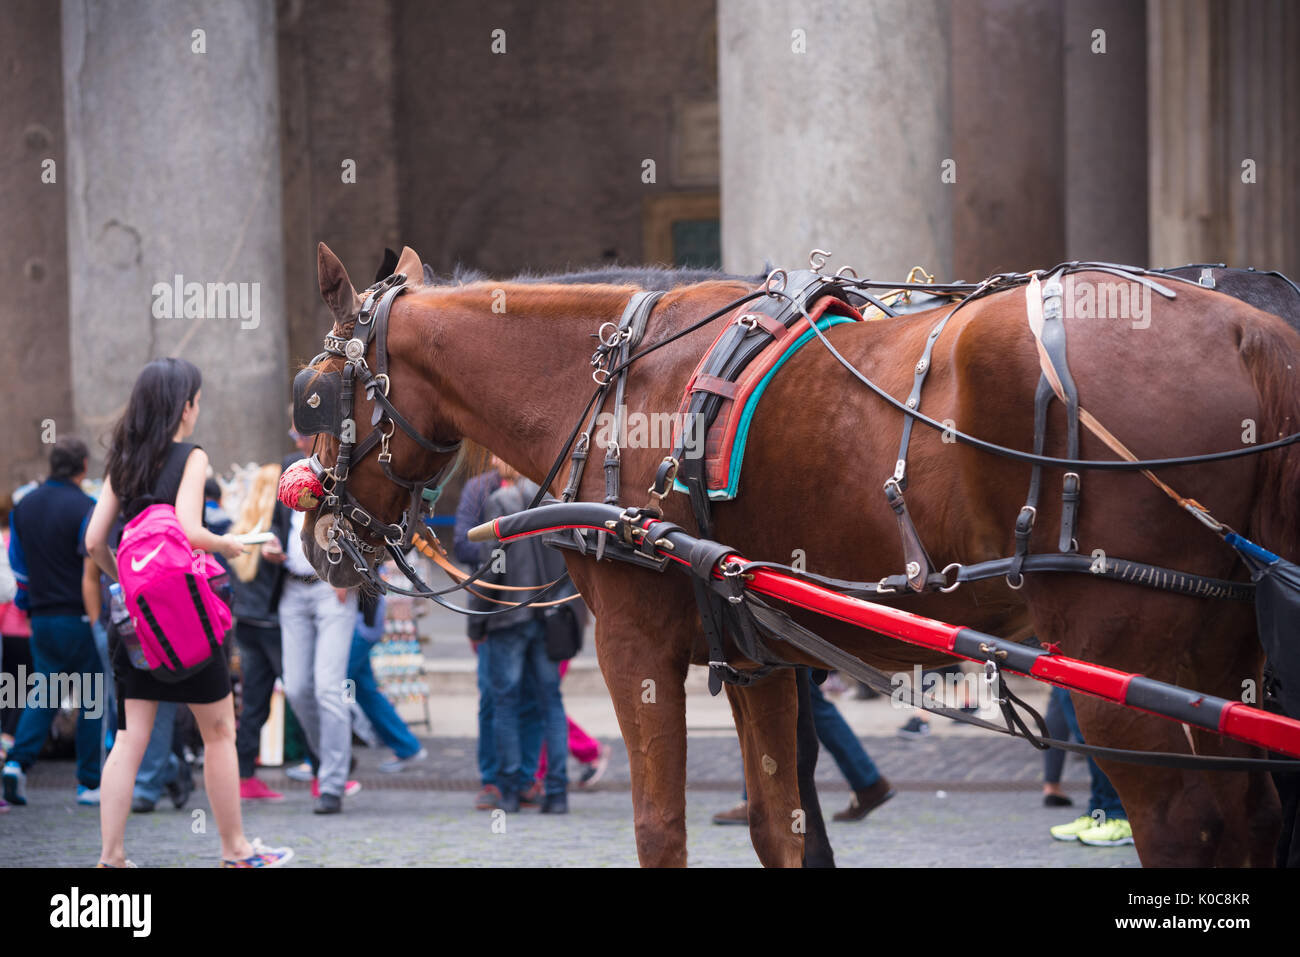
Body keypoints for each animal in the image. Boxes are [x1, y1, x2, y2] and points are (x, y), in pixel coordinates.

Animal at [298, 242, 1300, 867]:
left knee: (1184, 828)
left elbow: (659, 827)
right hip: (1224, 657)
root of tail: (1251, 335)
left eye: (314, 394)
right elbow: (781, 828)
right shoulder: (757, 653)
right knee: (1253, 819)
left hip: (1120, 662)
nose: (316, 538)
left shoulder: (635, 642)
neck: (623, 382)